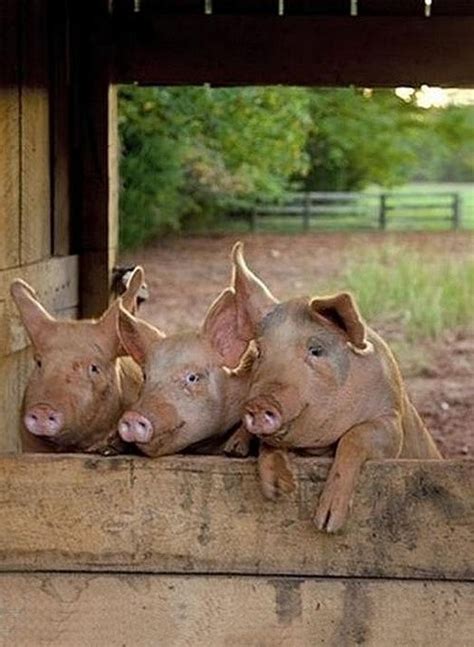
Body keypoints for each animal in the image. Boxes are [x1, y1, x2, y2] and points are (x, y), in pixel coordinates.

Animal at [229, 242, 442, 533]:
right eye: (260, 351)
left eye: (316, 350)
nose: (260, 402)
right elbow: (269, 444)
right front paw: (279, 489)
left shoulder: (391, 421)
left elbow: (355, 436)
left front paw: (327, 523)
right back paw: (233, 449)